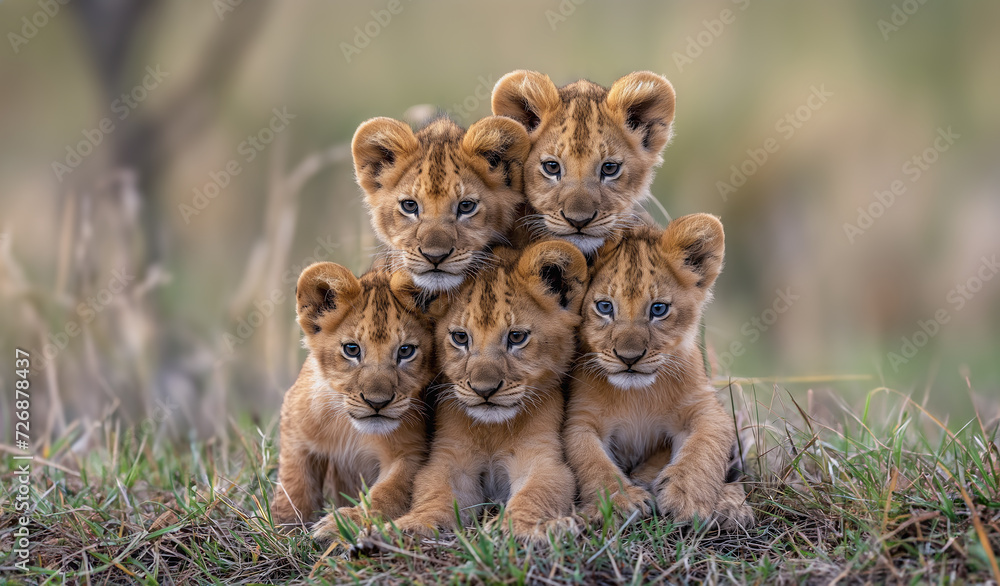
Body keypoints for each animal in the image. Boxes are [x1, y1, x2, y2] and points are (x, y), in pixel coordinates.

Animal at [271, 262, 440, 540]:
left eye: (405, 351)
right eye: (352, 350)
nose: (377, 403)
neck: (350, 428)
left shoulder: (411, 451)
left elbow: (387, 492)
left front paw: (342, 524)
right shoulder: (294, 425)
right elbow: (294, 482)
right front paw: (283, 524)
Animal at [392, 240, 588, 543]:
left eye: (517, 337)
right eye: (460, 337)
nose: (484, 391)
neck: (491, 431)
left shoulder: (542, 456)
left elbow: (535, 493)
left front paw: (513, 529)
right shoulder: (451, 457)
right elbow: (436, 493)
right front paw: (410, 526)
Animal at [564, 214, 753, 529]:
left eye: (659, 309)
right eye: (604, 307)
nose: (629, 358)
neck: (638, 395)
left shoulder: (704, 406)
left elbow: (706, 445)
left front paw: (686, 496)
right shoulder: (578, 418)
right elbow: (590, 459)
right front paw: (621, 502)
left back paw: (731, 506)